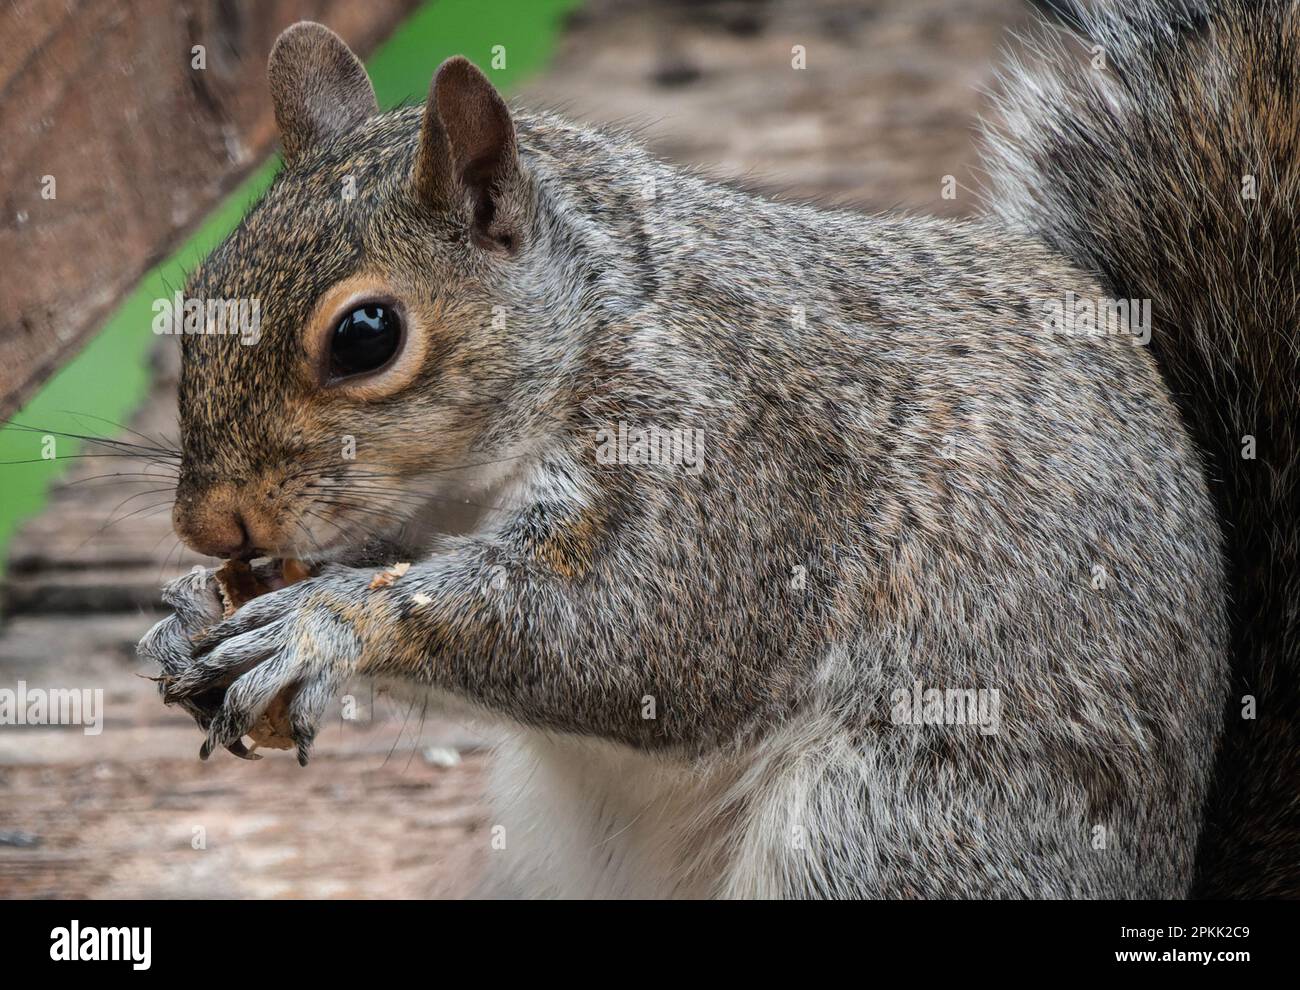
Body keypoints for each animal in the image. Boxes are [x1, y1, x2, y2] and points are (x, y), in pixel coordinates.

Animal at [136, 0, 1296, 898]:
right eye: (199, 295)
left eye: (367, 335)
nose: (207, 520)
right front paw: (196, 610)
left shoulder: (735, 451)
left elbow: (635, 636)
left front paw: (327, 625)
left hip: (889, 823)